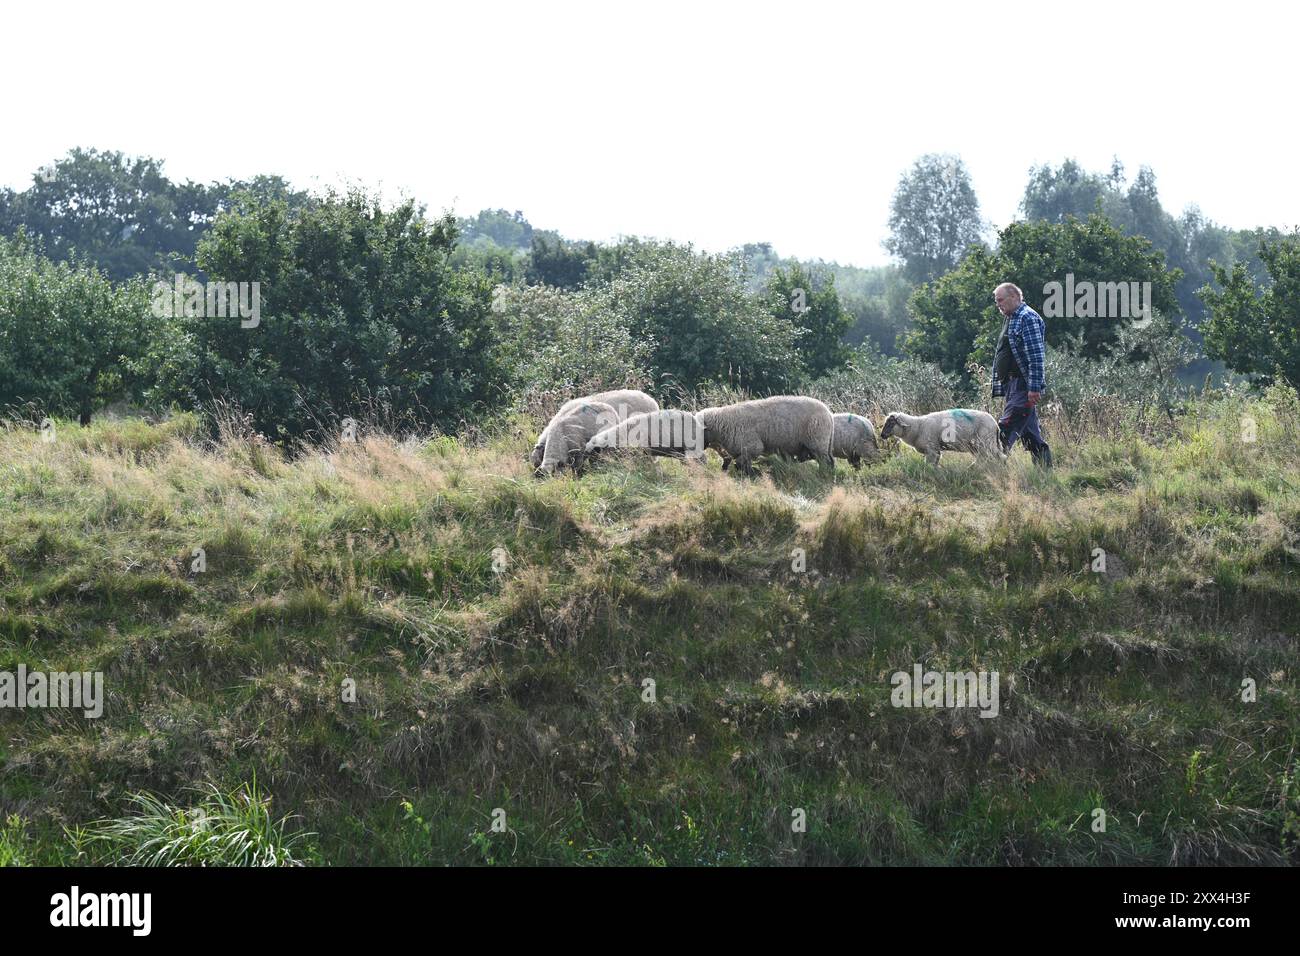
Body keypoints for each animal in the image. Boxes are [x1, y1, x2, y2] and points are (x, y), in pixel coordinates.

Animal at [696, 395, 834, 476]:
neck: (724, 423)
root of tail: (828, 413)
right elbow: (741, 463)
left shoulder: (751, 447)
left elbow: (743, 463)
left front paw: (752, 474)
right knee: (829, 460)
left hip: (817, 441)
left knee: (825, 461)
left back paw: (824, 474)